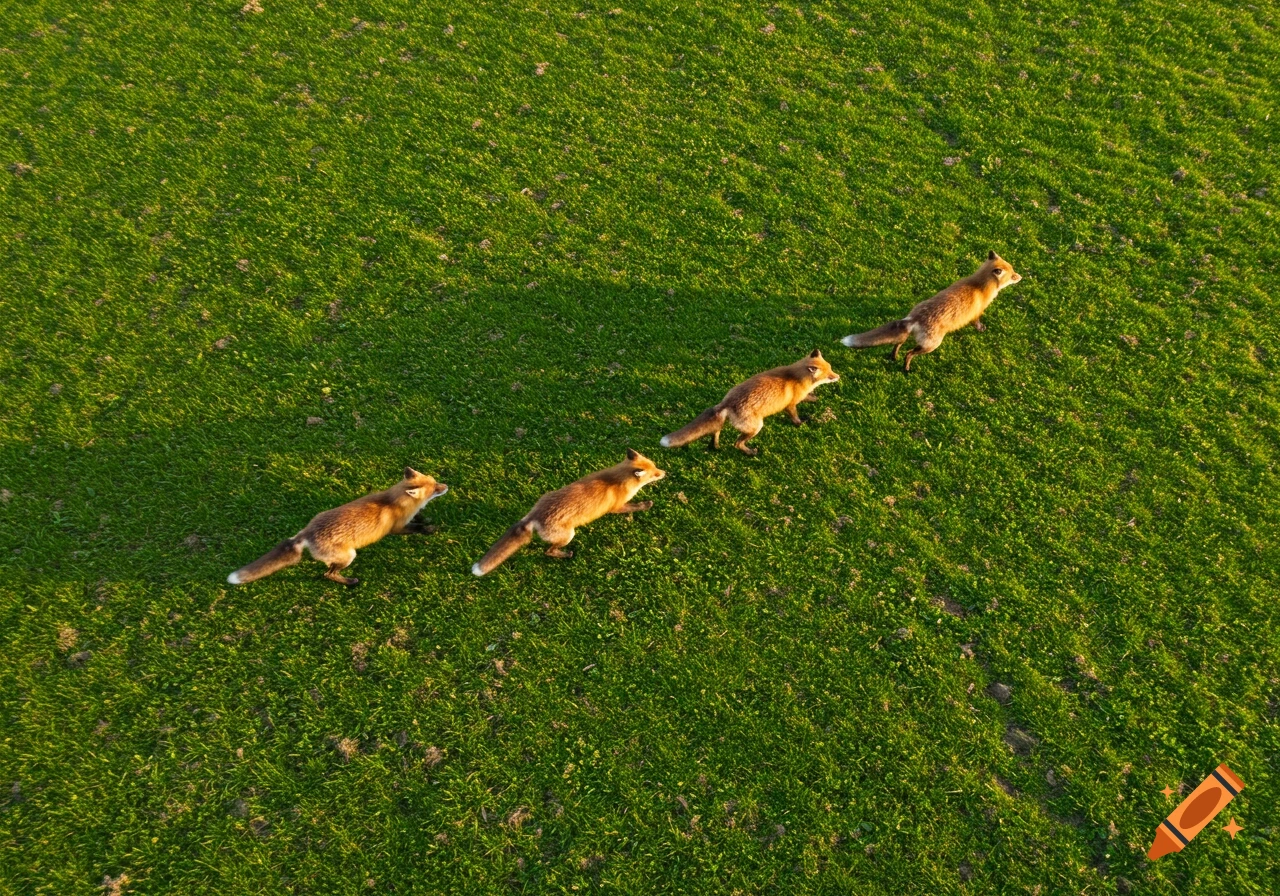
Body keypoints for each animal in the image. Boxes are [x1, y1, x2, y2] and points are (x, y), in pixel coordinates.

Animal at [227, 467, 449, 586]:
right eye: (434, 489)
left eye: (435, 481)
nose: (446, 486)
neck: (393, 502)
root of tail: (306, 533)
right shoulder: (396, 528)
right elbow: (415, 528)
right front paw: (428, 529)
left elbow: (419, 518)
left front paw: (425, 518)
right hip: (348, 556)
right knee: (328, 574)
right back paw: (350, 583)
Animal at [471, 449, 665, 576]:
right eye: (655, 475)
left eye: (656, 466)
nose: (664, 472)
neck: (615, 479)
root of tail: (535, 515)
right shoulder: (616, 507)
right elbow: (633, 507)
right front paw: (645, 505)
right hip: (568, 535)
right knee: (548, 551)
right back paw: (565, 555)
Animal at [659, 350, 841, 456]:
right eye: (829, 375)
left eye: (831, 368)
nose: (838, 376)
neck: (794, 376)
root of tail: (726, 402)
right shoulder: (790, 405)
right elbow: (795, 416)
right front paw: (800, 423)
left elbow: (808, 397)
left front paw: (814, 398)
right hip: (756, 427)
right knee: (736, 443)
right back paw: (750, 452)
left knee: (716, 430)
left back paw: (715, 446)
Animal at [841, 251, 1023, 372]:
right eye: (1013, 276)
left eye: (1014, 271)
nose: (1021, 277)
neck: (978, 285)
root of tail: (914, 318)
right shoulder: (977, 313)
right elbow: (977, 323)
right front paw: (981, 328)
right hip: (932, 345)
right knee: (909, 353)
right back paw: (906, 369)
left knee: (898, 343)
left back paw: (893, 357)